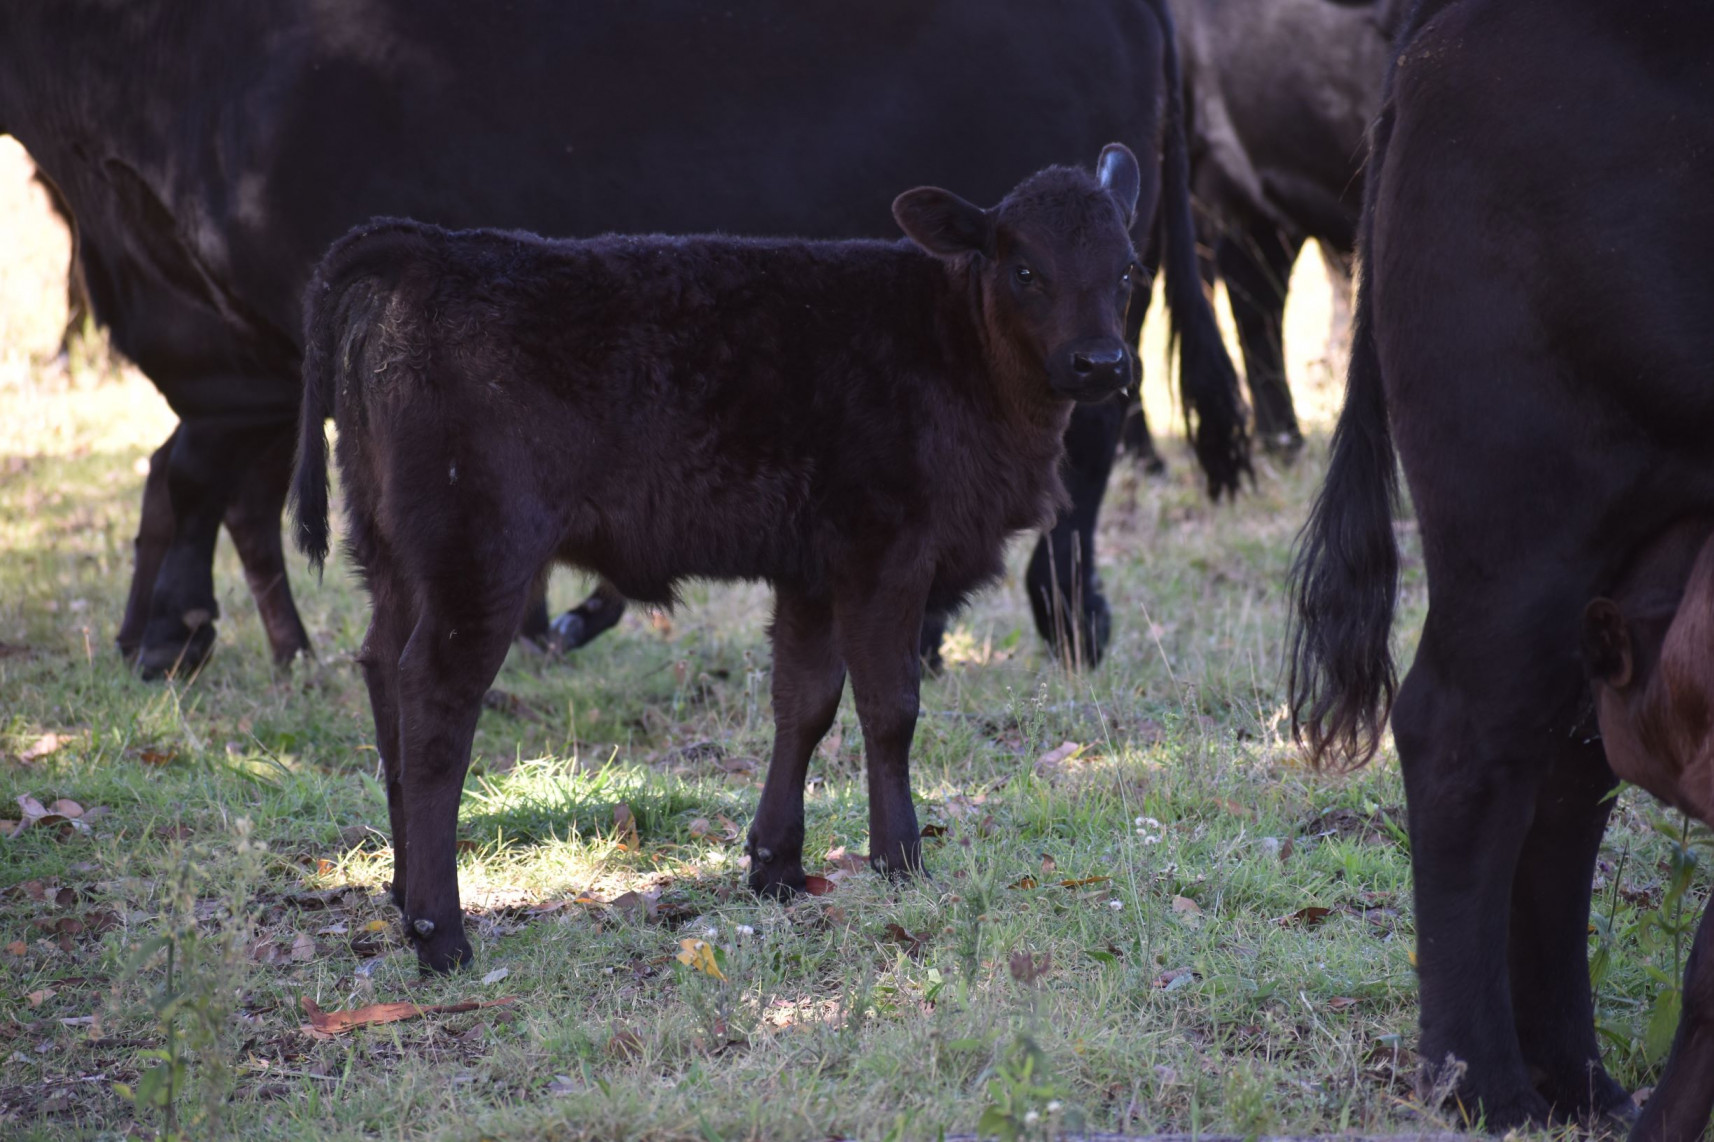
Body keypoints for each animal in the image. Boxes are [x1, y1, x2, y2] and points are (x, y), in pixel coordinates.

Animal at [0, 0, 1246, 679]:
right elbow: (206, 475)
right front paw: (174, 635)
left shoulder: (267, 329)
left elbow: (209, 470)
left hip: (1085, 334)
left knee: (1079, 463)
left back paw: (1054, 625)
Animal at [292, 147, 1147, 973]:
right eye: (1025, 269)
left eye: (1129, 271)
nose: (1102, 362)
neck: (956, 345)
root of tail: (429, 248)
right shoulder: (886, 551)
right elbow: (890, 707)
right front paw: (901, 859)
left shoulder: (812, 570)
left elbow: (804, 701)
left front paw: (776, 865)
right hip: (481, 552)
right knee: (435, 702)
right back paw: (440, 932)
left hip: (392, 550)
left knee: (382, 672)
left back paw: (401, 891)